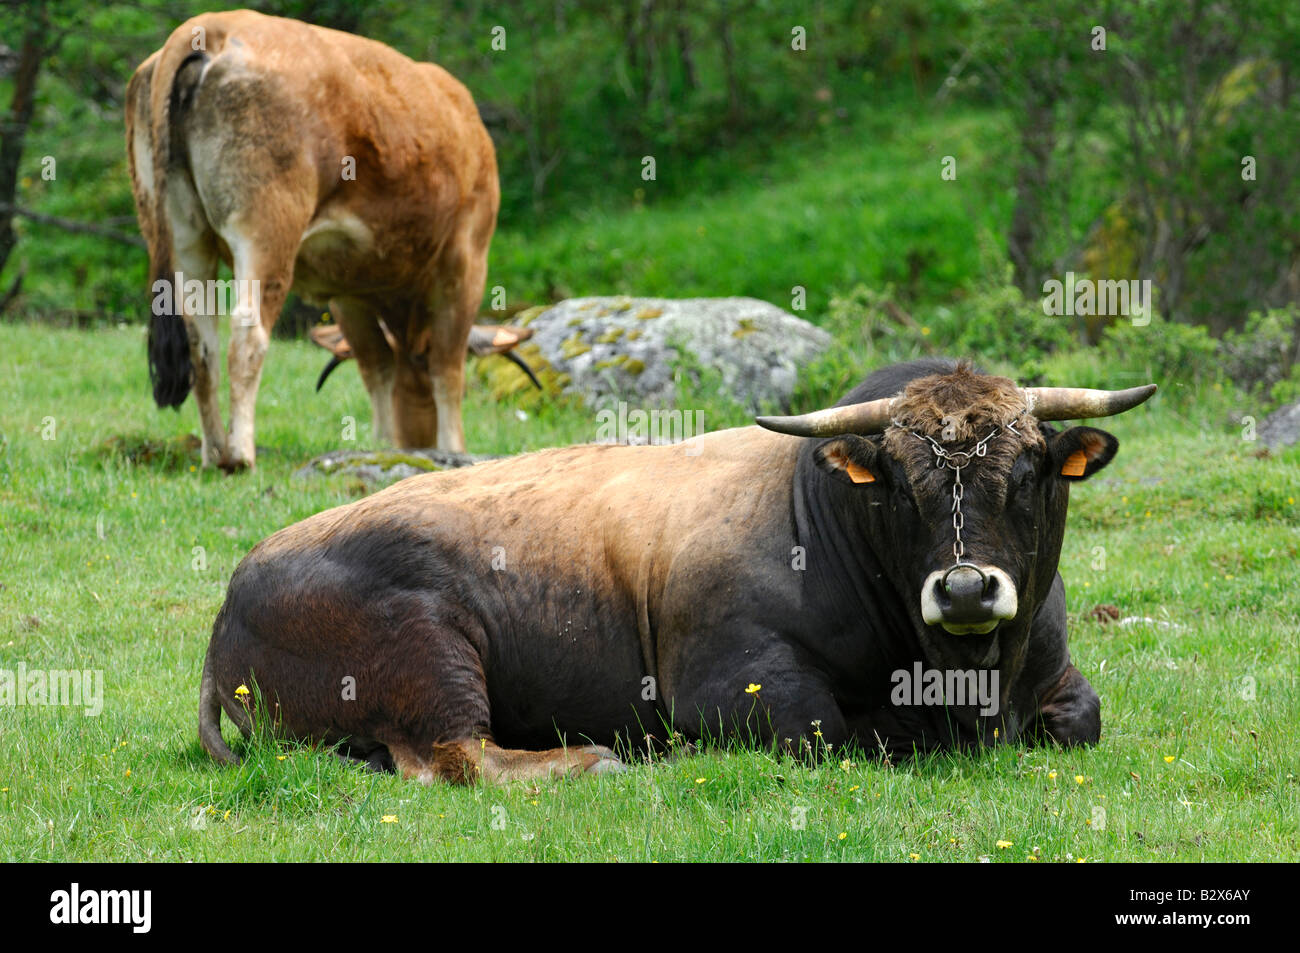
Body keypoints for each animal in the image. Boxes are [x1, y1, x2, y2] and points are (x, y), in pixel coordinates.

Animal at [125, 9, 499, 471]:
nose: (416, 442)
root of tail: (212, 24)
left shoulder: (348, 289)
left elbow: (376, 367)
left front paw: (381, 444)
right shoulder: (466, 259)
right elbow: (447, 367)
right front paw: (454, 448)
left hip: (183, 233)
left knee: (201, 341)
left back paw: (214, 451)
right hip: (268, 227)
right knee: (246, 334)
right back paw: (240, 454)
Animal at [198, 359, 1156, 782]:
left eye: (1028, 469)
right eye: (899, 481)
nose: (963, 588)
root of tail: (232, 604)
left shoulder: (1058, 678)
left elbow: (1083, 718)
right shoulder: (733, 686)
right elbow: (835, 732)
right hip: (430, 651)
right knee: (459, 756)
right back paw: (594, 758)